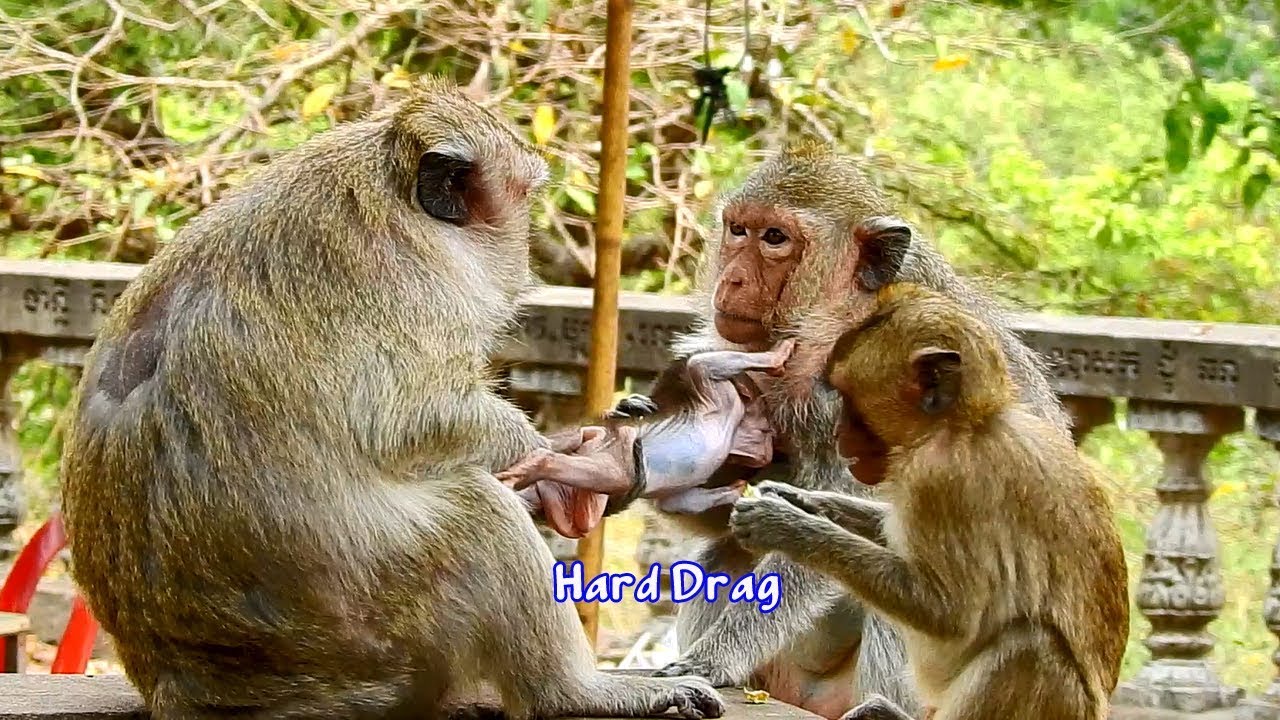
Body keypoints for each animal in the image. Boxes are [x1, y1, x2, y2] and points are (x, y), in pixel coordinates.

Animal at [58, 76, 725, 720]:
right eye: (524, 199)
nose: (532, 248)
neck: (392, 187)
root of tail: (184, 685)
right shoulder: (416, 284)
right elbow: (409, 422)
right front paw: (552, 458)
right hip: (373, 625)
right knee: (475, 515)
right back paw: (575, 693)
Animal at [498, 338, 796, 523]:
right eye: (767, 432)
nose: (768, 452)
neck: (733, 432)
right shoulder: (722, 402)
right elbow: (699, 367)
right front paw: (776, 356)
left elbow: (678, 502)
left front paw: (740, 488)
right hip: (618, 448)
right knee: (616, 474)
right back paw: (537, 463)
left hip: (593, 449)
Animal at [603, 144, 1072, 719]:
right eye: (738, 229)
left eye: (775, 238)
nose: (731, 279)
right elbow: (732, 507)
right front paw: (639, 424)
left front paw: (714, 658)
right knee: (724, 552)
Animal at [727, 282, 1130, 720]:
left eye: (850, 404)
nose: (837, 433)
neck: (964, 424)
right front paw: (800, 501)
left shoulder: (941, 481)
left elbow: (950, 615)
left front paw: (786, 527)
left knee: (1030, 646)